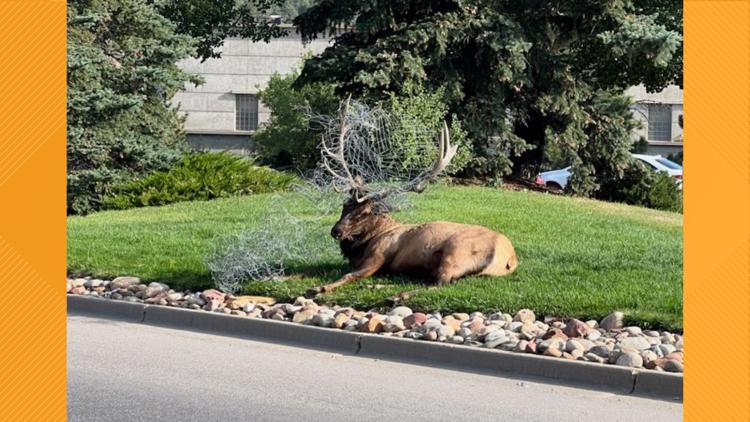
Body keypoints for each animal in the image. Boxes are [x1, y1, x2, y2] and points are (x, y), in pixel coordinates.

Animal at [305, 104, 518, 300]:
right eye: (344, 205)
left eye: (366, 212)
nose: (336, 231)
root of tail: (510, 258)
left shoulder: (378, 255)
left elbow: (350, 275)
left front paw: (319, 288)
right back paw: (380, 288)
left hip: (456, 252)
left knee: (440, 284)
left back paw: (397, 296)